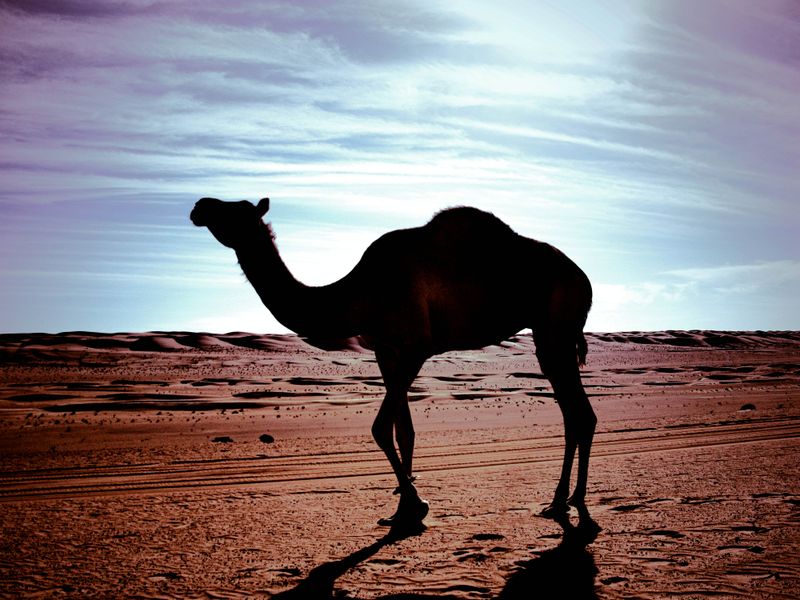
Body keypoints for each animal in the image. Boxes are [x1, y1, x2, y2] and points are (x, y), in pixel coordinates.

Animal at [190, 197, 595, 528]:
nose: (198, 206)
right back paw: (564, 499)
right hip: (551, 335)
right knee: (575, 414)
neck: (358, 293)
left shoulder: (417, 345)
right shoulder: (385, 350)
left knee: (580, 413)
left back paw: (569, 500)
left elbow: (381, 428)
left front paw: (416, 503)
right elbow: (405, 430)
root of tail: (584, 279)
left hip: (554, 330)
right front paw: (402, 507)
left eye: (235, 210)